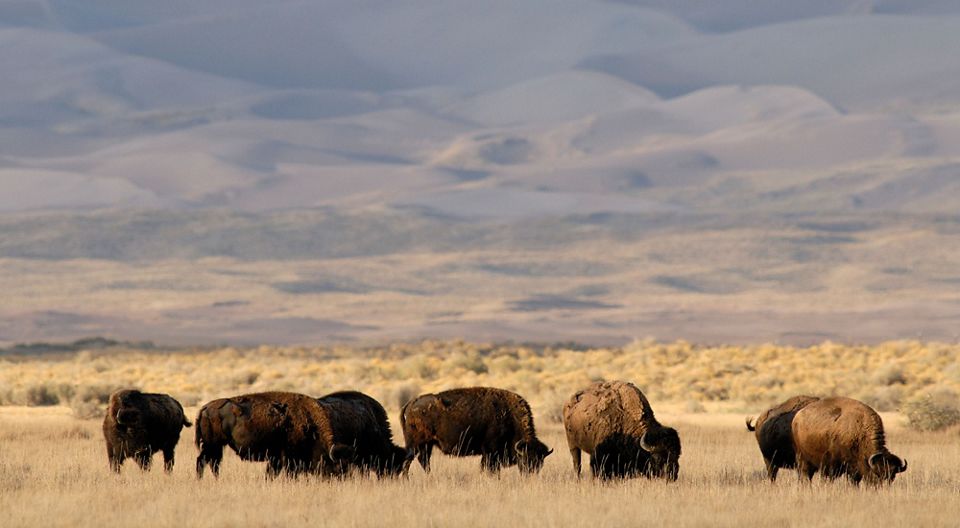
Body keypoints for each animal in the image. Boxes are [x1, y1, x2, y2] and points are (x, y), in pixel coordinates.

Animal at [400, 387, 552, 474]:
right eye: (525, 459)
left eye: (540, 463)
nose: (530, 475)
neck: (509, 416)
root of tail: (411, 404)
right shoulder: (491, 453)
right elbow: (490, 469)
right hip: (417, 445)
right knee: (410, 461)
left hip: (427, 445)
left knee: (423, 461)